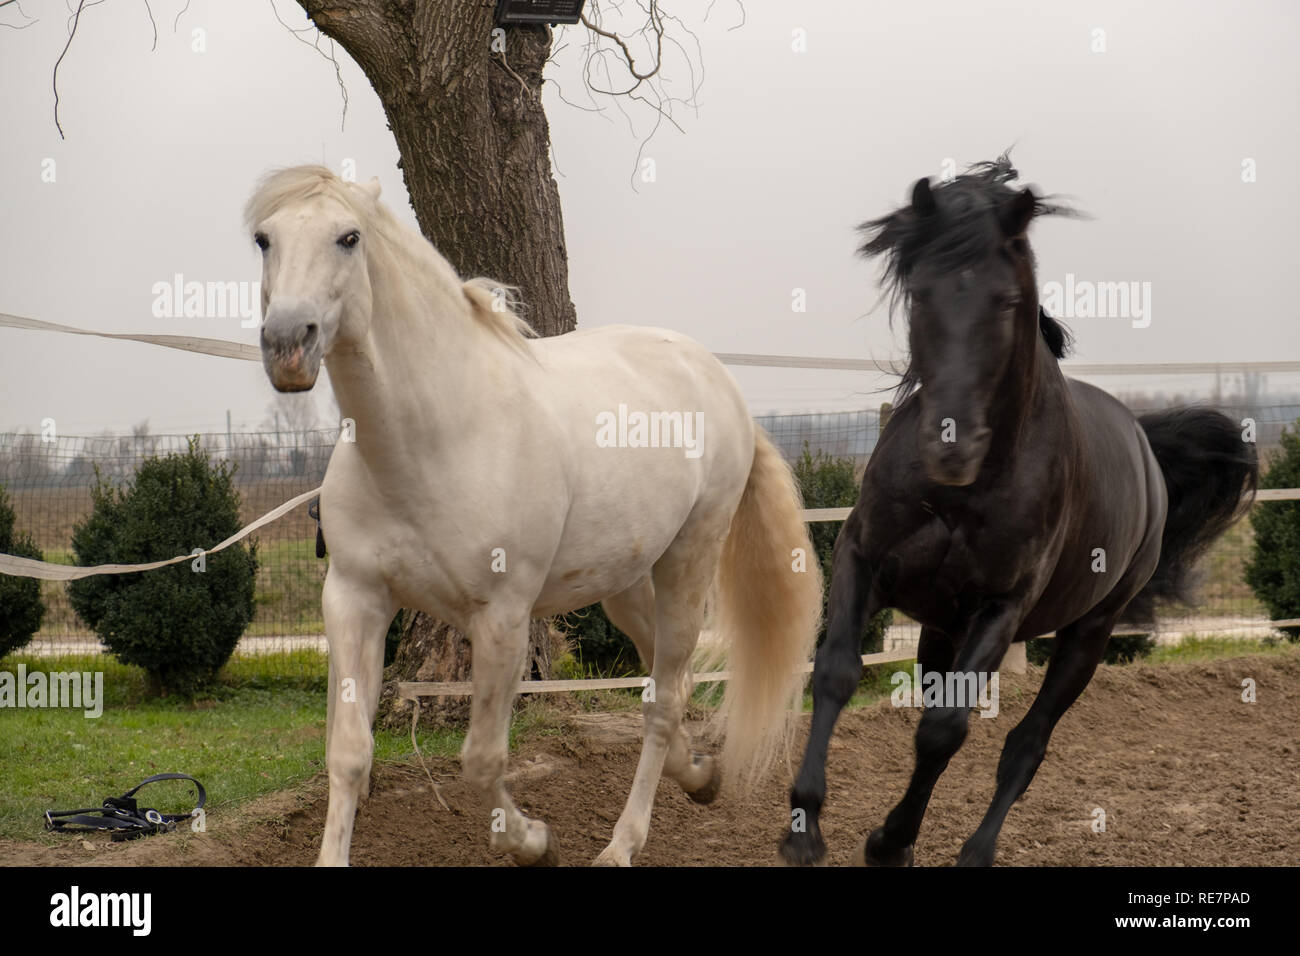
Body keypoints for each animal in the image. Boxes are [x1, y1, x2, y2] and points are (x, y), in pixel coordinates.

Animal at [245, 166, 822, 867]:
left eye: (348, 237)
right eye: (264, 239)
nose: (287, 344)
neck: (436, 438)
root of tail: (716, 377)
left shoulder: (502, 618)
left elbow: (481, 759)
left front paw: (535, 843)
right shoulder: (355, 601)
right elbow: (350, 754)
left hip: (689, 560)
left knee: (661, 701)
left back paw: (622, 845)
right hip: (626, 585)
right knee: (673, 683)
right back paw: (700, 777)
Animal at [779, 155, 1257, 867]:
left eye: (1006, 302)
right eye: (919, 294)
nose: (950, 448)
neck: (961, 496)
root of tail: (1144, 444)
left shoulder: (1001, 608)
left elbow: (945, 730)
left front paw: (886, 841)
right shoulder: (862, 559)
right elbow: (838, 673)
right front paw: (804, 826)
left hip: (1088, 634)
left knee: (1026, 747)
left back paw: (972, 851)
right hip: (941, 625)